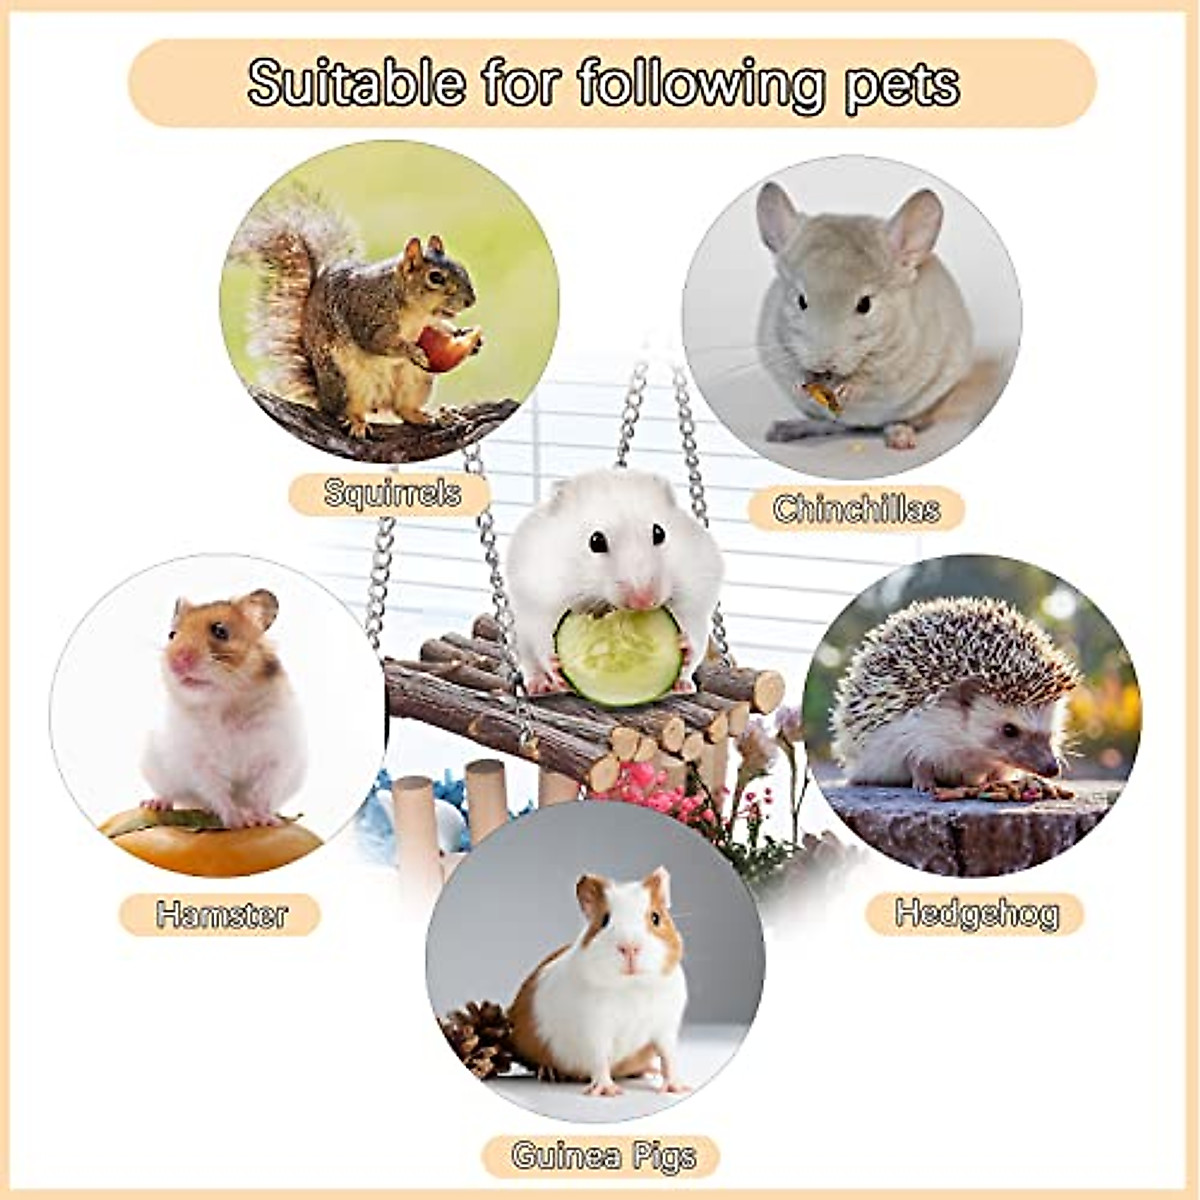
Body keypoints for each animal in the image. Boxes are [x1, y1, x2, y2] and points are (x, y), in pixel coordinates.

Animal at [141, 589, 306, 829]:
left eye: (220, 631)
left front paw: (265, 820)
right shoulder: (199, 762)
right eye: (172, 635)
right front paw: (239, 822)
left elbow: (264, 794)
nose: (176, 662)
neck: (225, 703)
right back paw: (154, 804)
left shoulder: (277, 758)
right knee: (170, 793)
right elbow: (217, 792)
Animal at [506, 468, 725, 695]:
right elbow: (544, 640)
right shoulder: (541, 602)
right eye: (596, 541)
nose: (643, 602)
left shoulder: (696, 602)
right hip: (521, 635)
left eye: (659, 532)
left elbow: (695, 638)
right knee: (530, 662)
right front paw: (557, 665)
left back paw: (684, 686)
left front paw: (683, 645)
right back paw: (540, 686)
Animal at [508, 867, 689, 1097]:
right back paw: (550, 1074)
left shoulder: (665, 1028)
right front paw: (607, 1091)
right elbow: (600, 1060)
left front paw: (676, 1088)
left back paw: (648, 1071)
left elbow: (668, 1058)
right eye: (604, 920)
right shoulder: (594, 1029)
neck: (631, 987)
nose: (629, 948)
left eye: (656, 917)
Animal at [756, 182, 973, 450]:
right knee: (830, 424)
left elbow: (872, 379)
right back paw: (784, 430)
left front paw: (847, 389)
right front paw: (802, 382)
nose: (824, 362)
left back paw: (900, 437)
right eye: (800, 300)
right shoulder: (776, 344)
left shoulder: (898, 364)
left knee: (903, 421)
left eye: (865, 304)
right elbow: (793, 366)